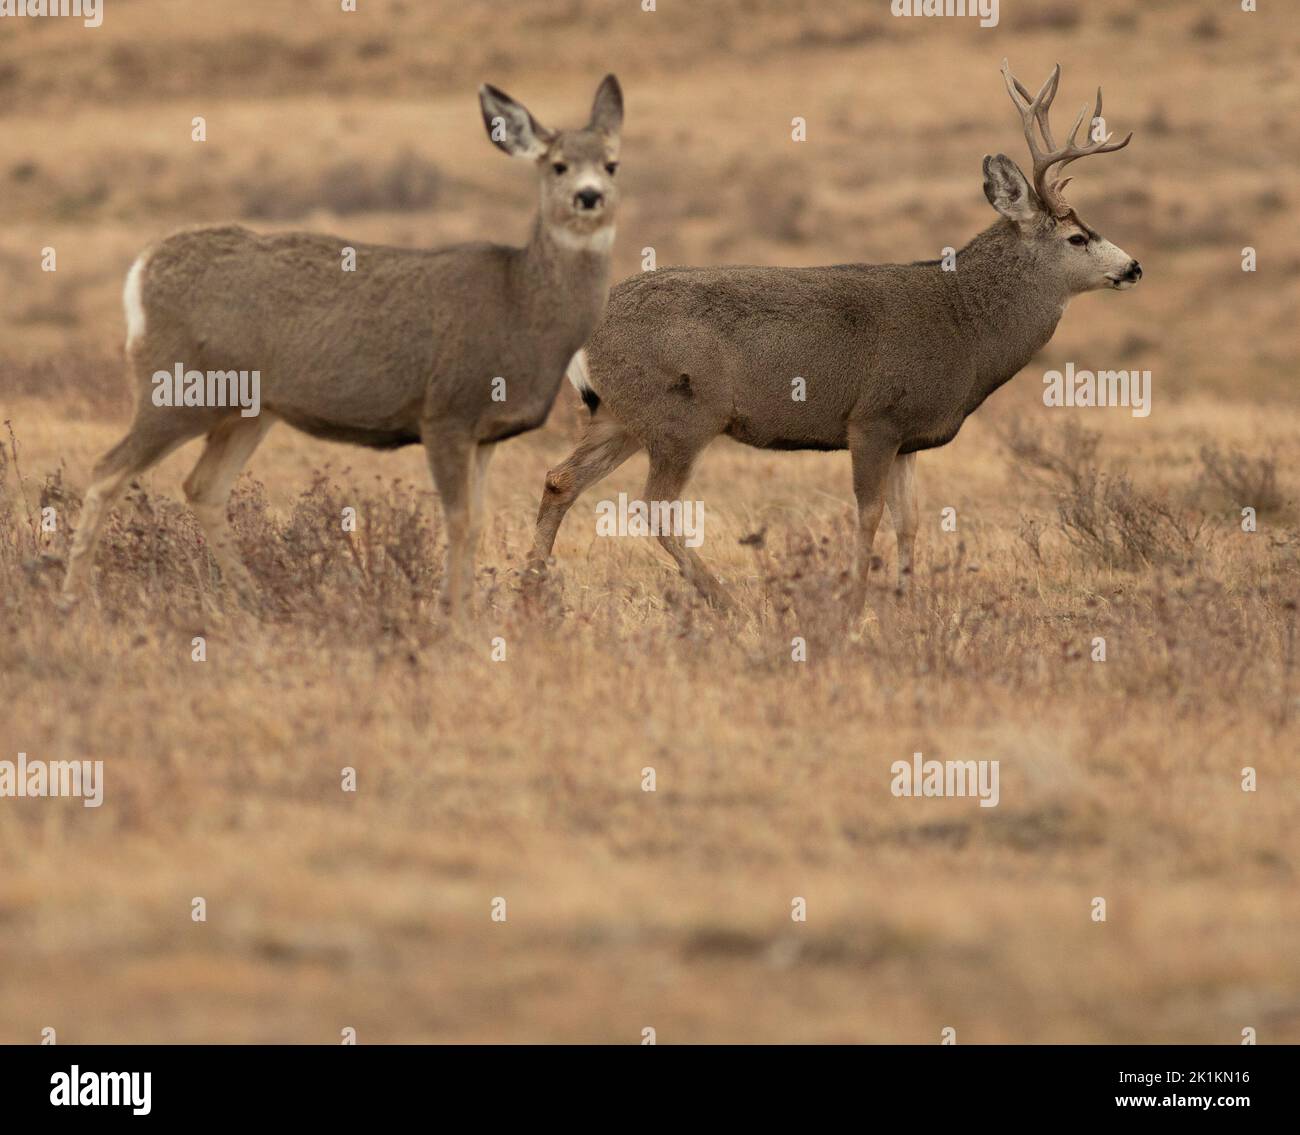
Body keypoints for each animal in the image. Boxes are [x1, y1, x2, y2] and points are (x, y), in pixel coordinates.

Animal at [61, 75, 625, 616]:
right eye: (558, 165)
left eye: (612, 164)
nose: (590, 196)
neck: (521, 306)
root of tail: (141, 270)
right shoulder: (445, 411)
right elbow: (459, 520)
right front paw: (452, 621)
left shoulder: (485, 432)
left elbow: (479, 521)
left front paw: (469, 616)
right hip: (177, 387)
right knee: (108, 469)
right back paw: (77, 601)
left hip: (249, 409)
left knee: (203, 487)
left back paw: (256, 605)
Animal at [526, 61, 1141, 612]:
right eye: (1078, 238)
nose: (1133, 267)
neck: (965, 324)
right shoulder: (872, 417)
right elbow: (869, 515)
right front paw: (854, 602)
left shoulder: (909, 435)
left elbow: (910, 521)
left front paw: (908, 605)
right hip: (682, 412)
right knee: (655, 505)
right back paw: (728, 601)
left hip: (619, 413)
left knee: (561, 479)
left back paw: (528, 590)